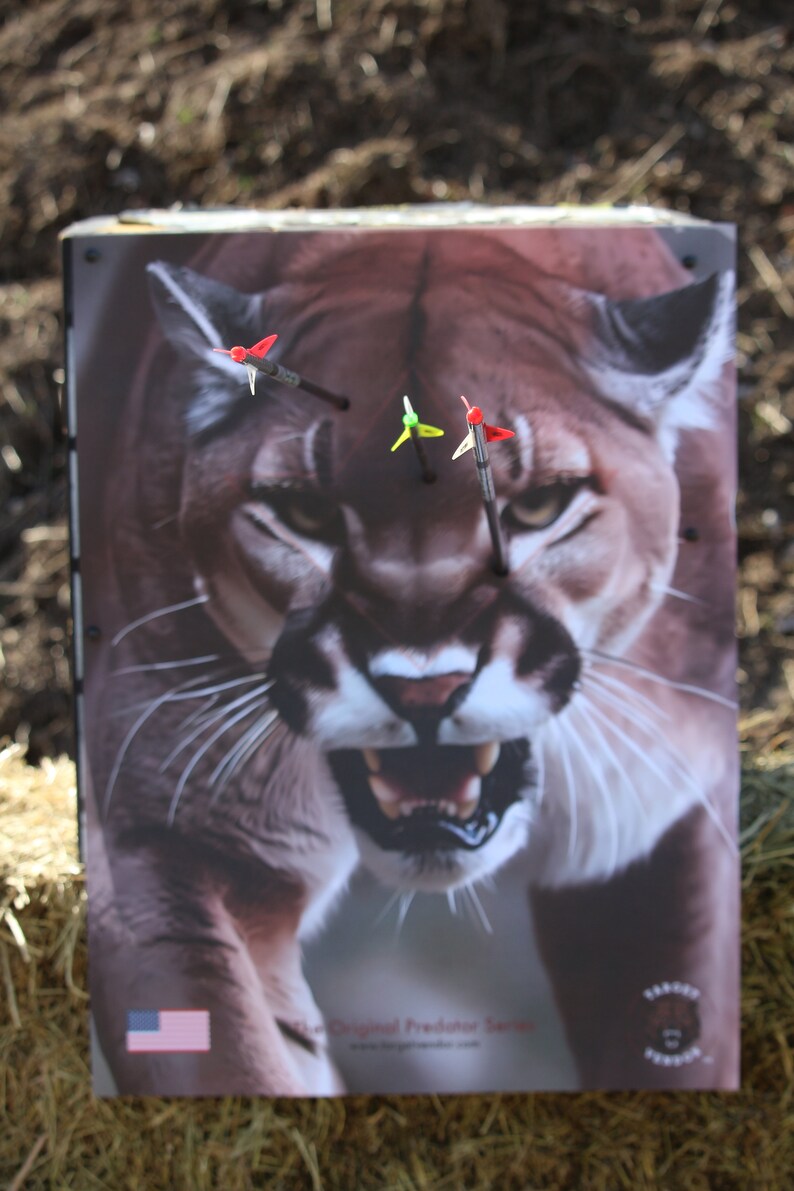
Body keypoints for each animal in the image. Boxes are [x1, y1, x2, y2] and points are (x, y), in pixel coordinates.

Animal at [81, 225, 738, 1093]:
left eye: (539, 504)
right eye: (304, 512)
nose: (426, 688)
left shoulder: (662, 805)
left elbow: (680, 1027)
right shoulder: (169, 839)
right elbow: (231, 1062)